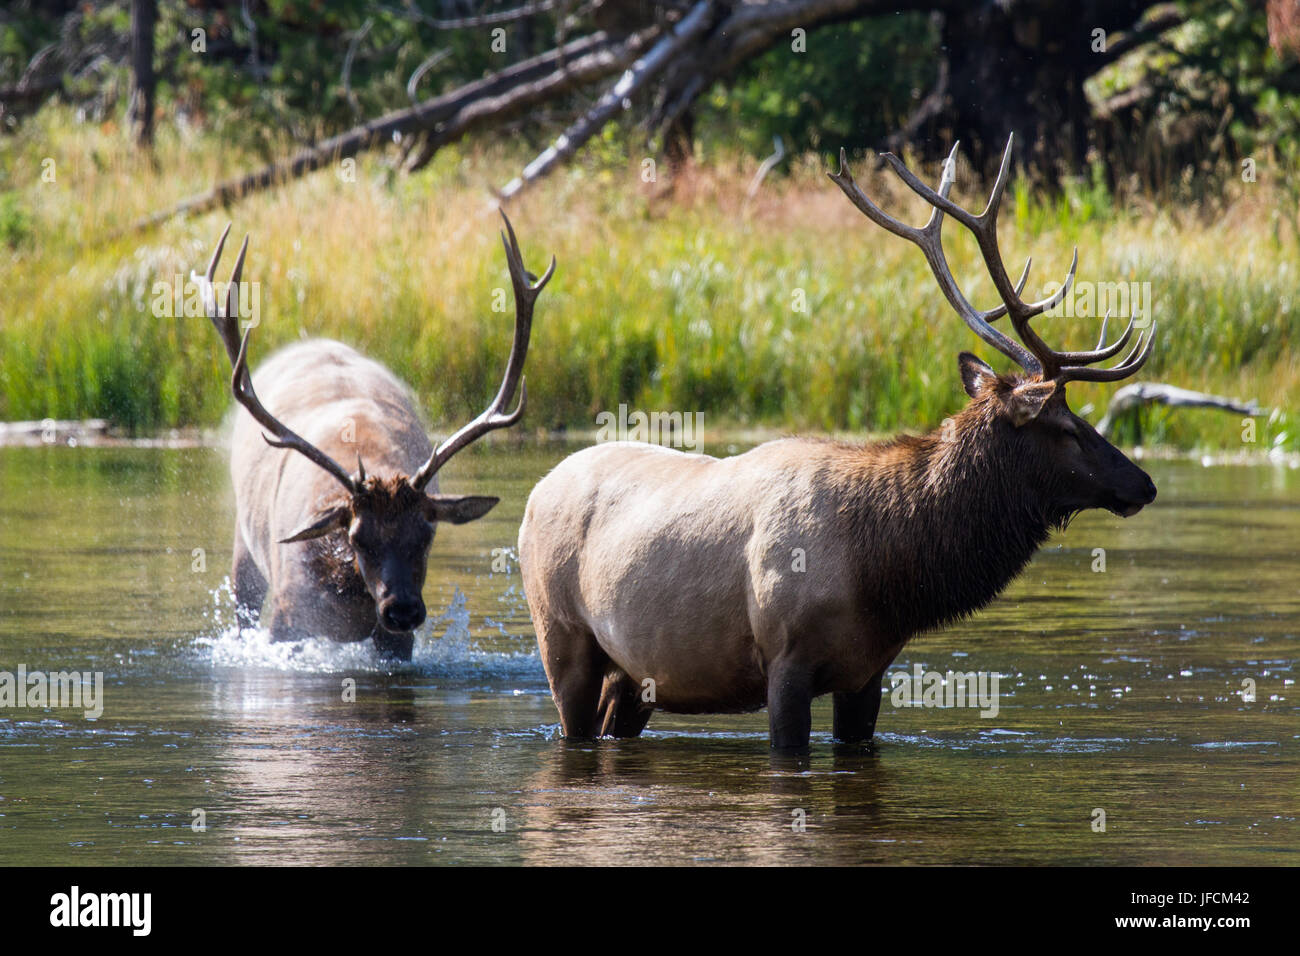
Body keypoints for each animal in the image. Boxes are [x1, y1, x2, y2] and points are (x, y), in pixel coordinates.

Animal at [200, 213, 554, 661]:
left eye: (427, 532)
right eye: (358, 537)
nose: (402, 610)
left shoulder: (397, 641)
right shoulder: (286, 615)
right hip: (244, 553)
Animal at [517, 134, 1157, 753]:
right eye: (1068, 428)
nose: (1144, 484)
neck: (882, 575)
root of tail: (535, 491)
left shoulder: (868, 673)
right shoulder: (785, 656)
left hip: (632, 673)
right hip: (561, 636)